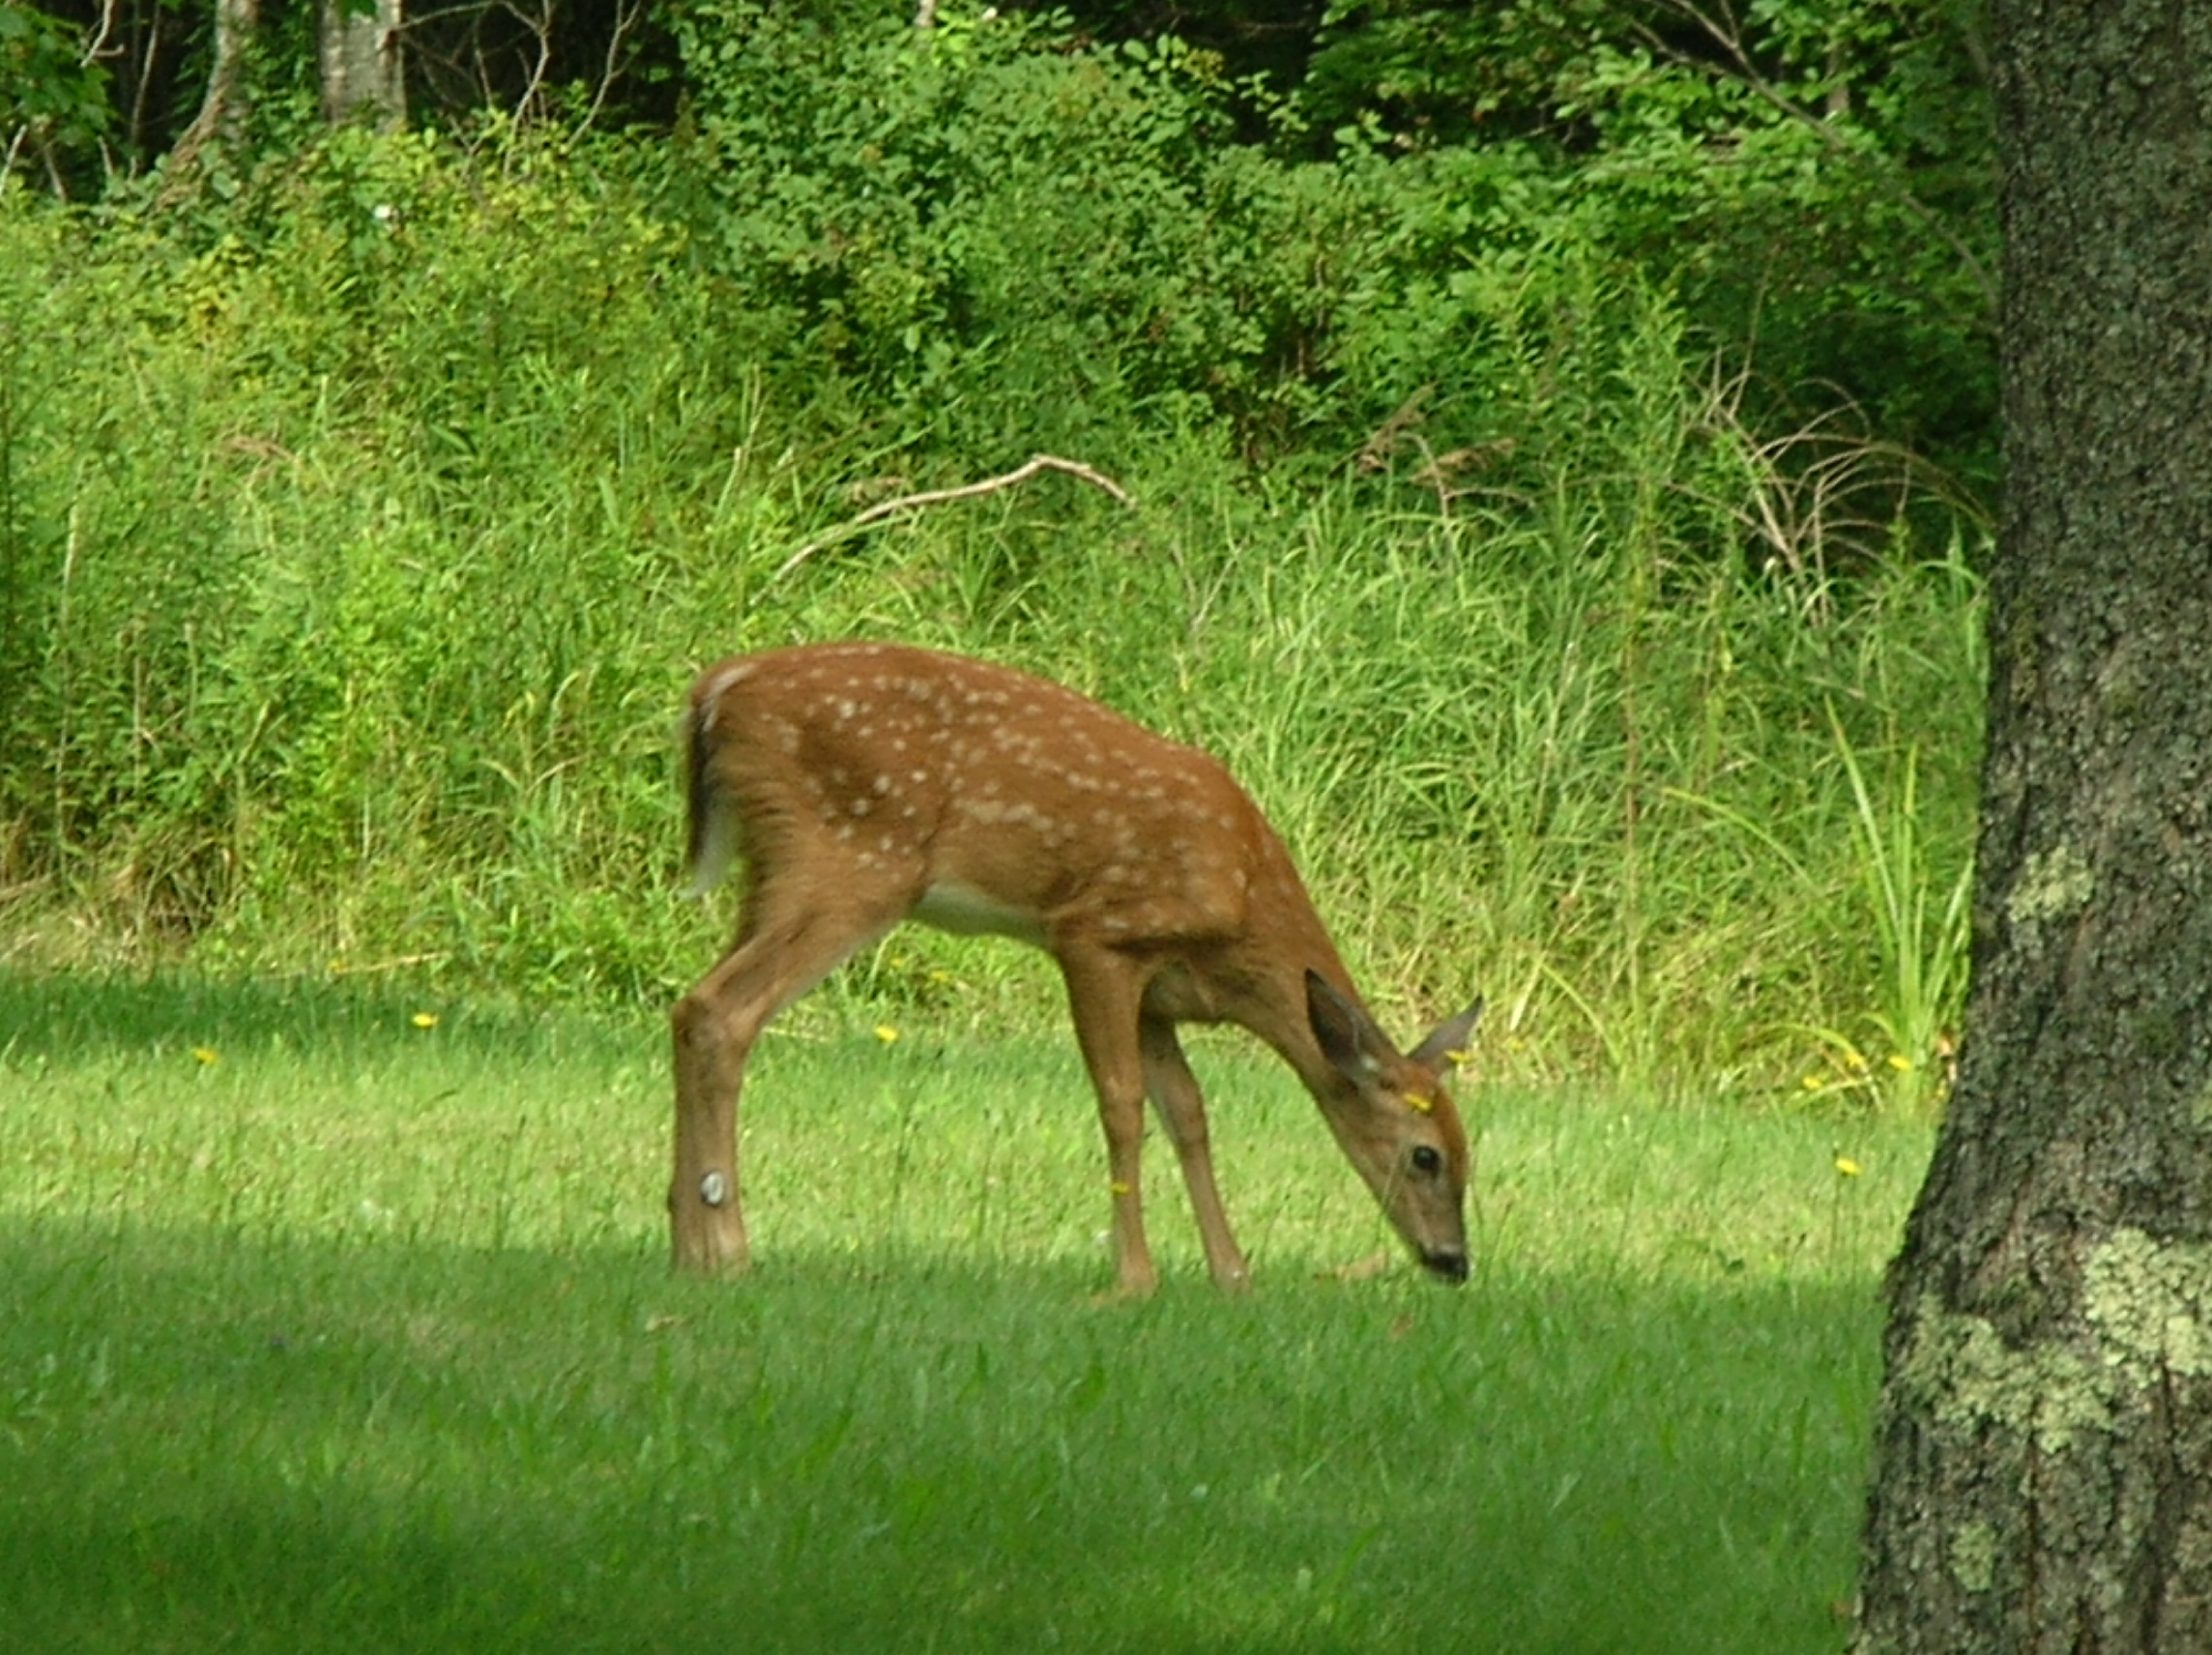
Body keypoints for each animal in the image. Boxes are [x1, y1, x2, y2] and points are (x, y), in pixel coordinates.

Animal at [669, 640, 1484, 1295]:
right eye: (1425, 1157)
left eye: (1465, 1150)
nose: (1453, 1262)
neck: (1245, 910)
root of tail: (719, 689)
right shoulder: (1098, 936)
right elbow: (1122, 1103)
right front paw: (1134, 1279)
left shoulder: (1159, 993)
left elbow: (1189, 1112)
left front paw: (1232, 1275)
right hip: (852, 860)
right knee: (721, 1010)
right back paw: (729, 1251)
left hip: (774, 871)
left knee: (691, 1008)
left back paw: (686, 1243)